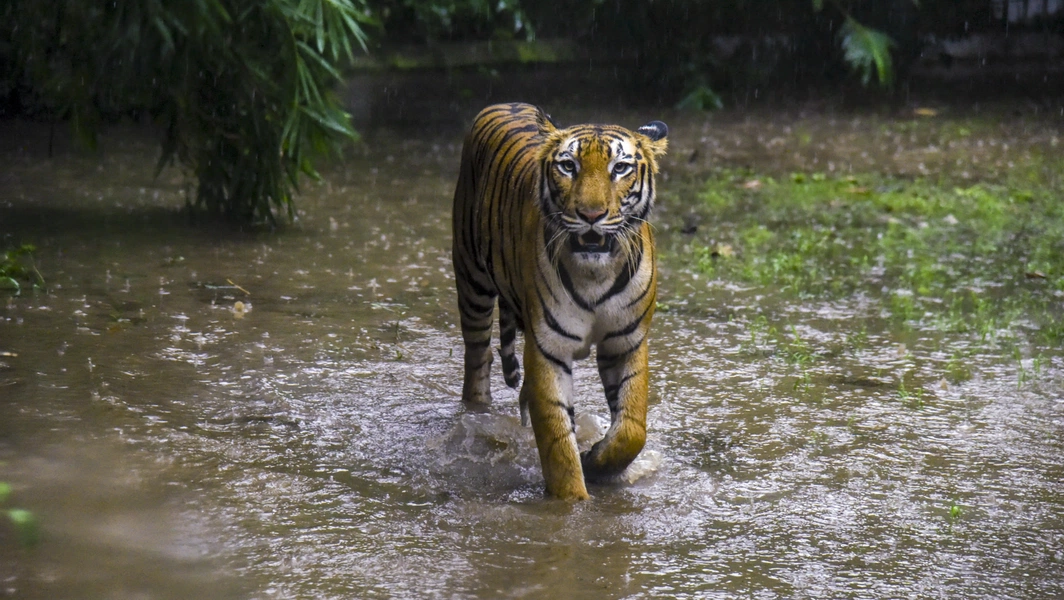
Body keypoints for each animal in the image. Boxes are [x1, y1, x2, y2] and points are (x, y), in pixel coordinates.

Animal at [451, 102, 668, 501]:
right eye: (568, 166)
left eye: (620, 168)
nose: (591, 215)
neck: (595, 273)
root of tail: (506, 103)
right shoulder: (548, 349)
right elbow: (557, 444)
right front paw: (573, 502)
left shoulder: (626, 341)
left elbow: (632, 428)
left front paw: (596, 461)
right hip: (471, 281)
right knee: (478, 357)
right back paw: (475, 412)